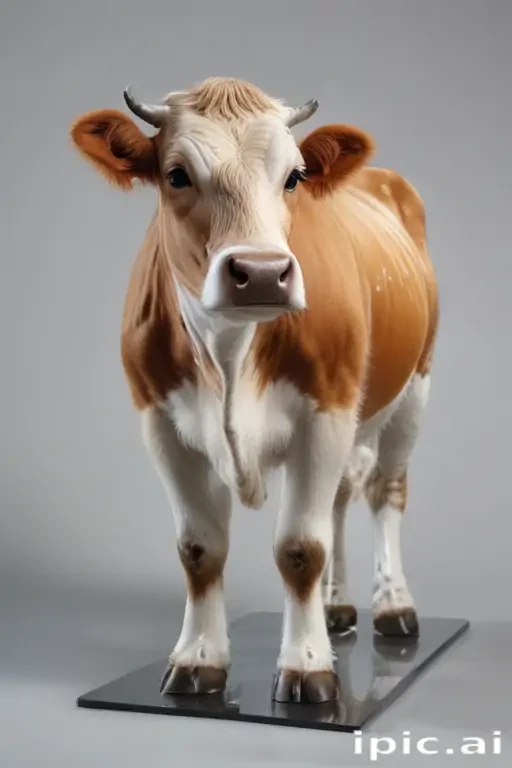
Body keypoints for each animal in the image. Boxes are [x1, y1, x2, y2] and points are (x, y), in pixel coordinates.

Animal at [70, 76, 438, 704]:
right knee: (343, 494)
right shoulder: (160, 422)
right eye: (176, 174)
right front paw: (198, 658)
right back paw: (337, 609)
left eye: (293, 176)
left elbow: (300, 547)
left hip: (414, 386)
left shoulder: (326, 410)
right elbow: (200, 549)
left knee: (384, 491)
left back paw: (393, 605)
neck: (231, 356)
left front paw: (307, 665)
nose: (263, 273)